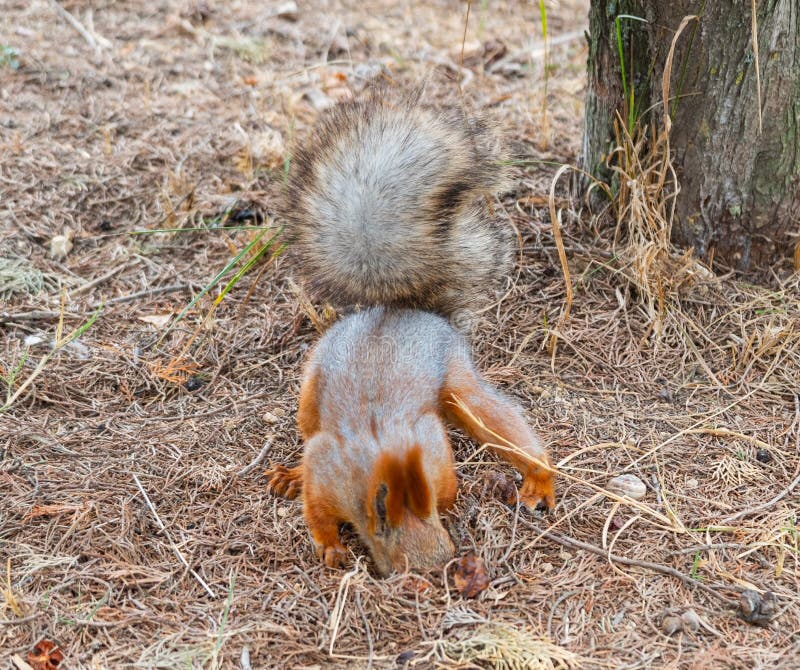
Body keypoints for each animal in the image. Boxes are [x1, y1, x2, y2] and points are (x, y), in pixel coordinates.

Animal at [266, 90, 555, 577]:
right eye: (399, 564)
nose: (445, 568)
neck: (383, 463)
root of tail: (409, 312)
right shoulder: (328, 468)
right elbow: (317, 508)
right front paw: (330, 546)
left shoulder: (431, 447)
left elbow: (445, 481)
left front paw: (451, 499)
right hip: (312, 385)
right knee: (307, 431)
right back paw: (291, 474)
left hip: (457, 380)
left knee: (495, 419)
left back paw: (539, 478)